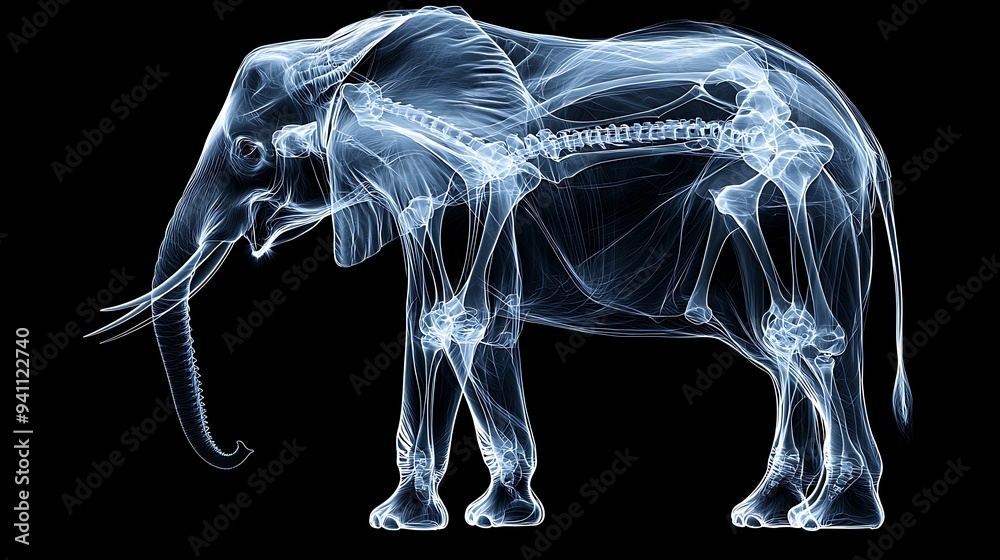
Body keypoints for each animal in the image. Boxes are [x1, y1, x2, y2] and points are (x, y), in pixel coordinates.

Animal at [93, 7, 910, 531]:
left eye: (248, 152)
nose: (236, 449)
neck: (349, 53)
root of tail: (858, 133)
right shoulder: (426, 190)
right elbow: (453, 324)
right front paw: (476, 515)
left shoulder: (475, 179)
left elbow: (457, 317)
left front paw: (428, 516)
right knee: (780, 345)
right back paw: (771, 511)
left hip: (811, 211)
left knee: (811, 336)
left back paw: (834, 515)